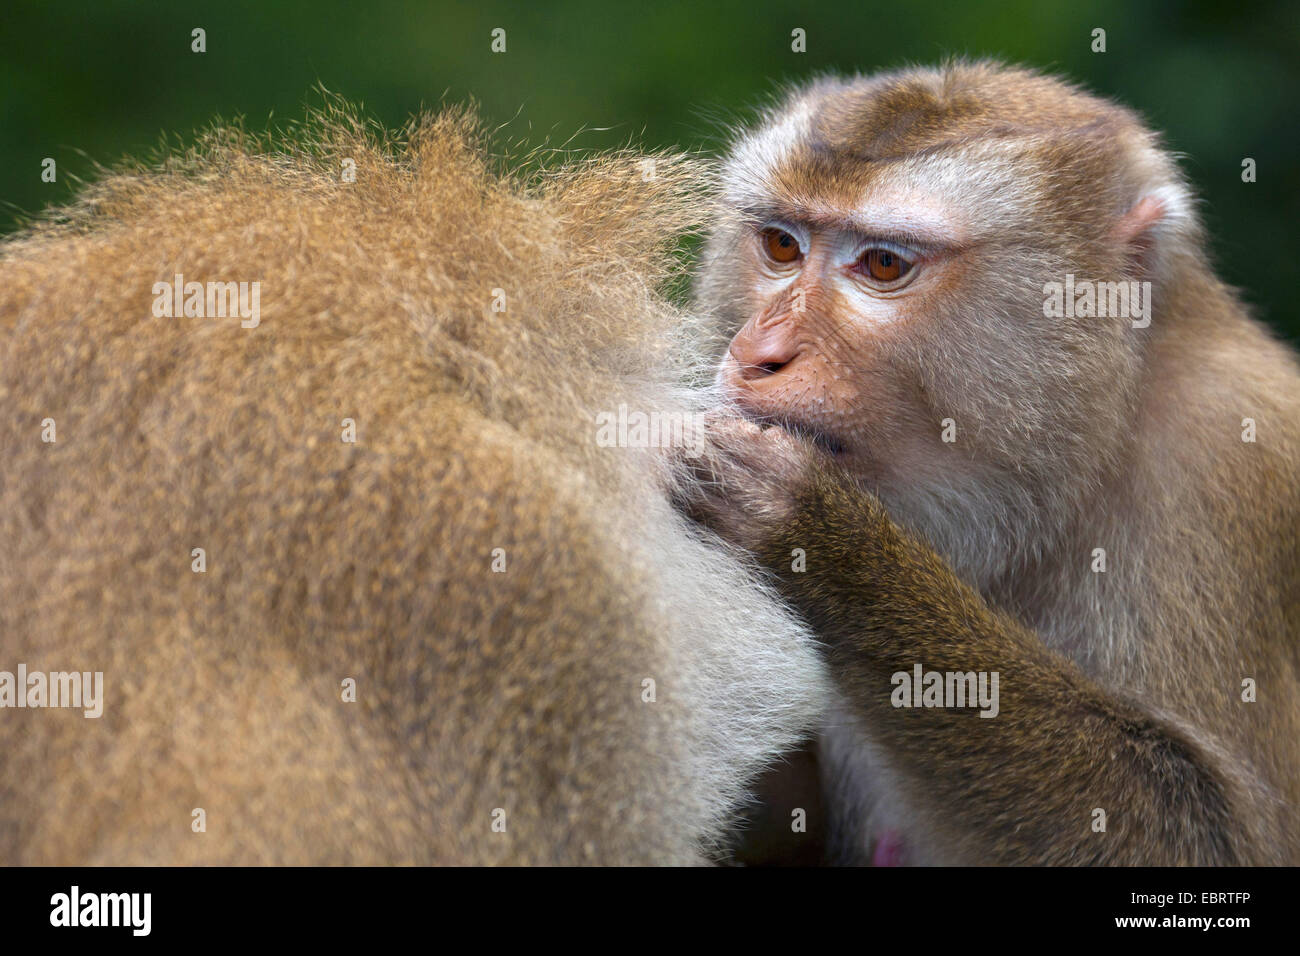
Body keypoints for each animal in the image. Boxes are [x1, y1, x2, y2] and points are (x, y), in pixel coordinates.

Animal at [686, 60, 1300, 865]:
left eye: (883, 263)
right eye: (782, 247)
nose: (759, 353)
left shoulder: (1226, 465)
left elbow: (1205, 829)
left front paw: (817, 534)